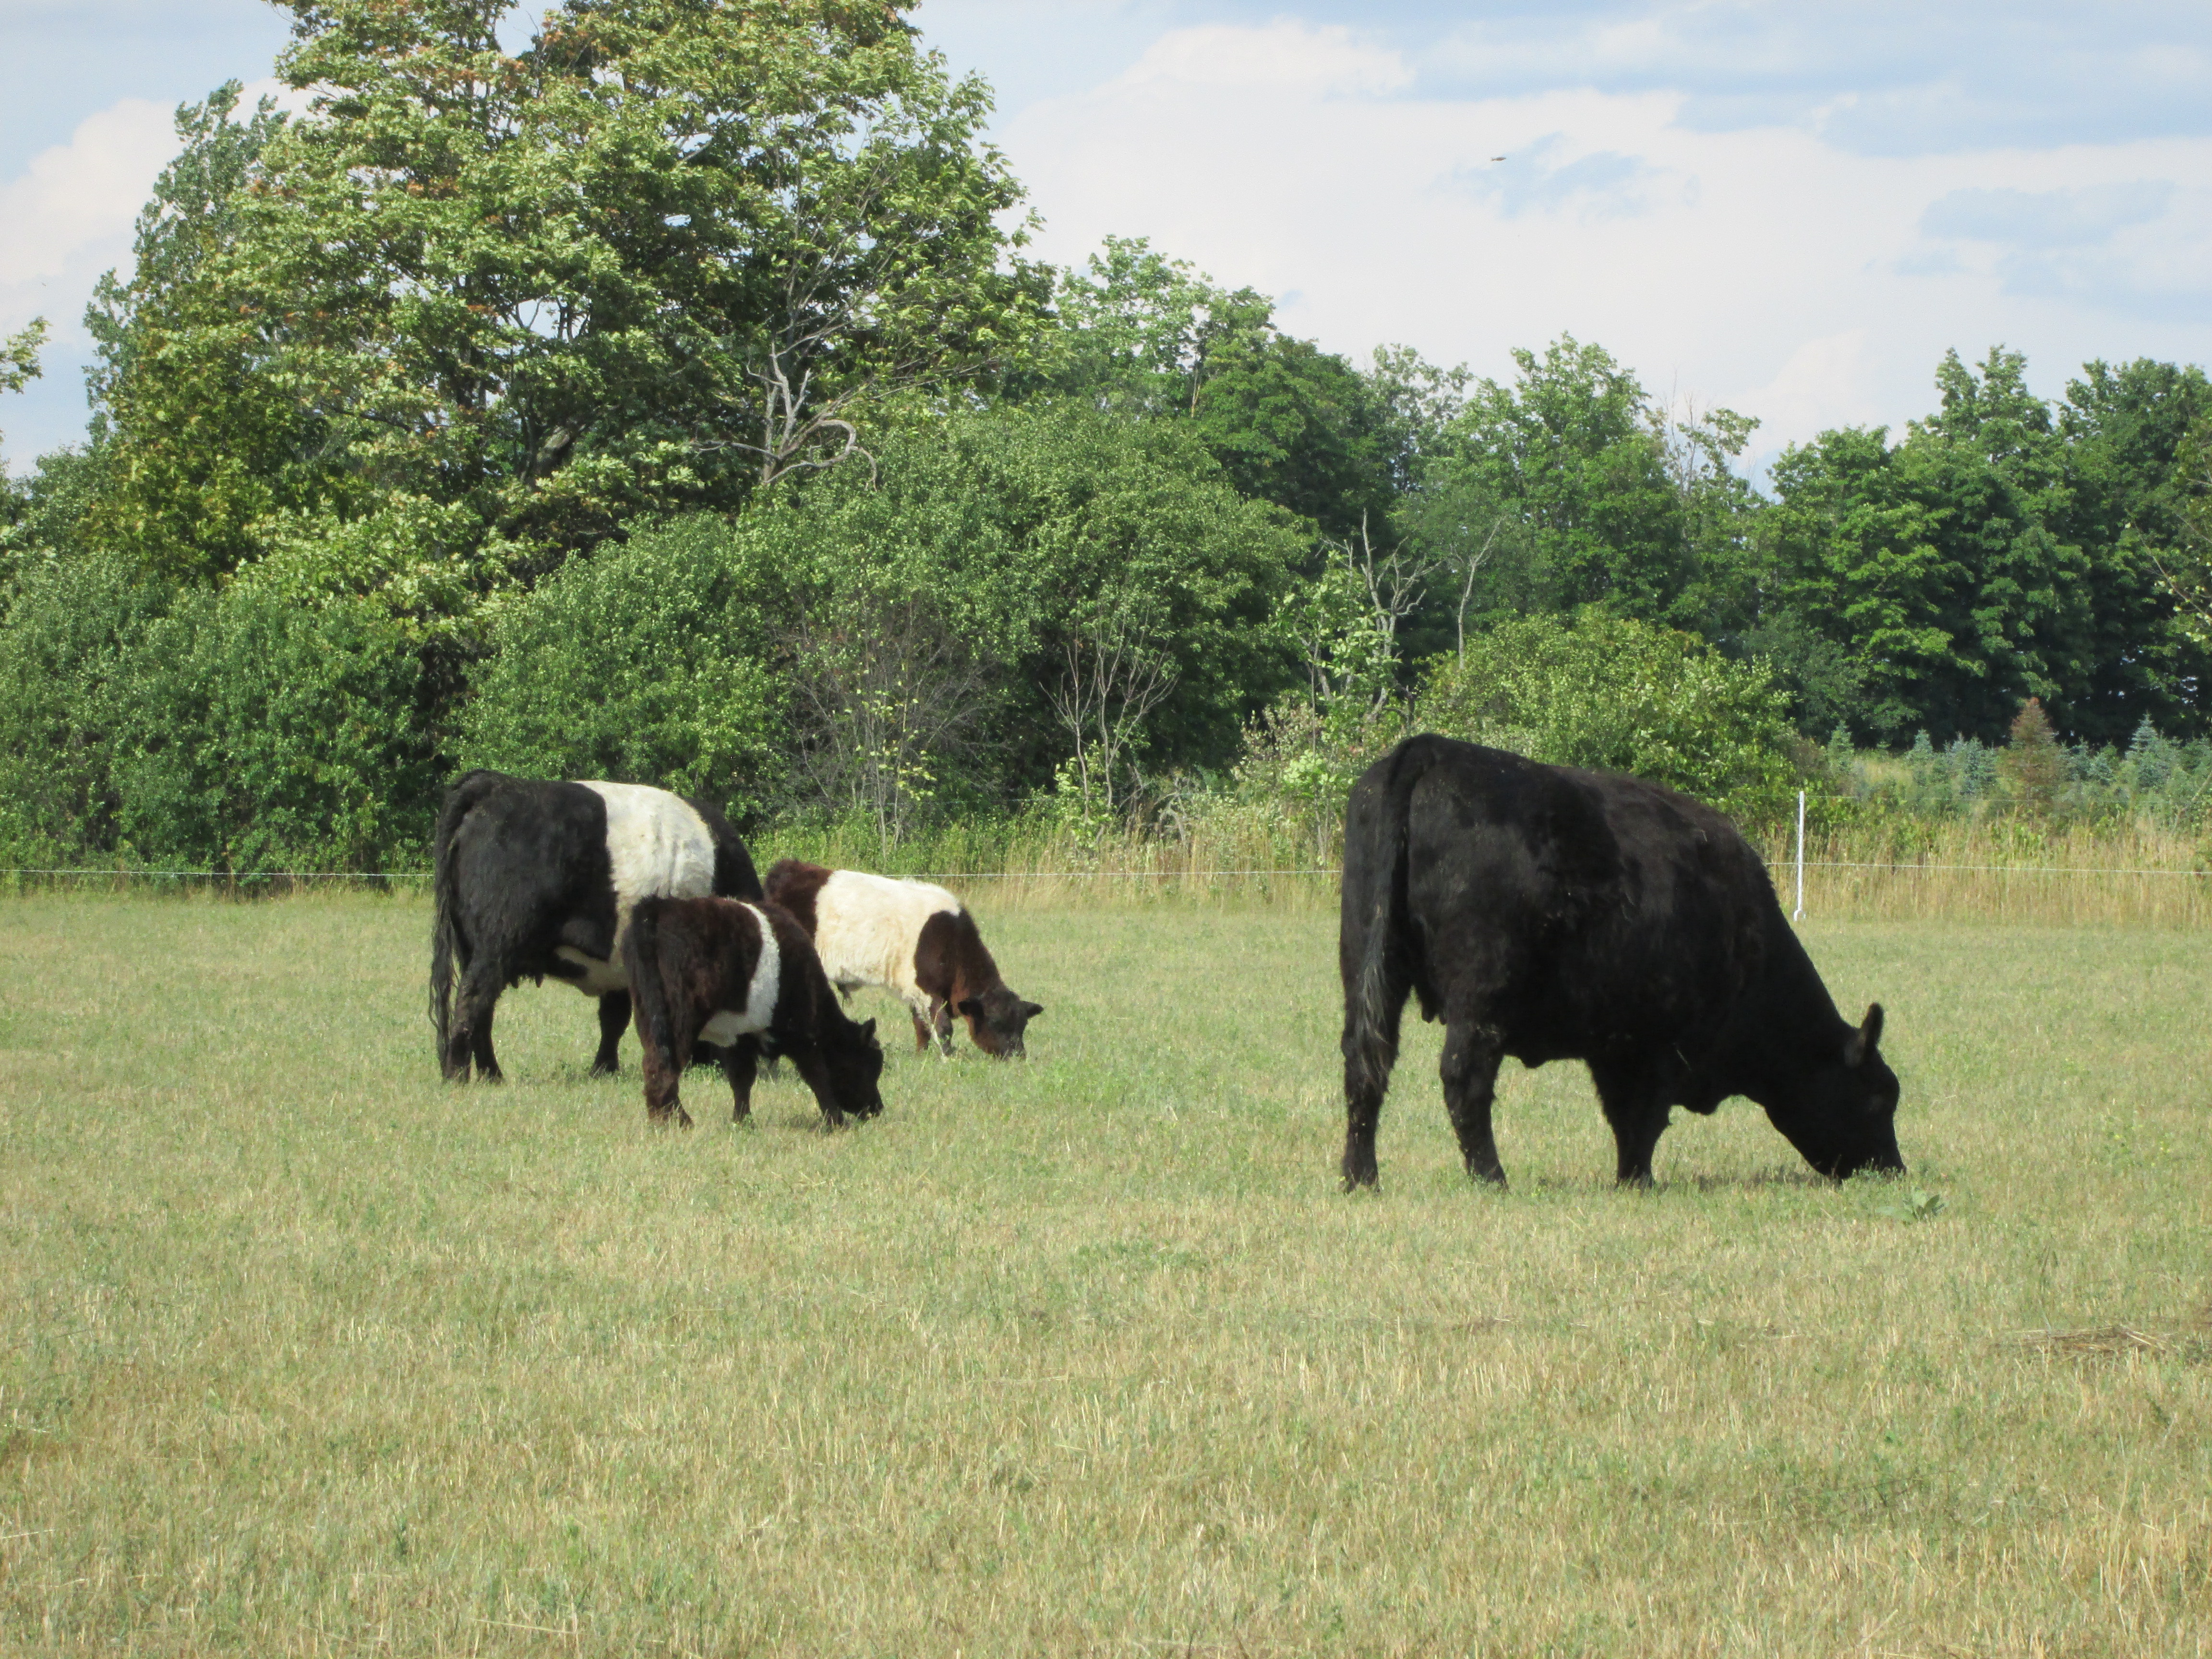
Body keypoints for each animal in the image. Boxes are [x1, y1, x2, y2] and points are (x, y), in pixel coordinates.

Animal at [429, 771, 763, 1082]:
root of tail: (495, 784)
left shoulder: (619, 969)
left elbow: (614, 1018)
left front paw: (605, 1069)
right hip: (499, 943)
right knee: (472, 1001)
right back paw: (458, 1076)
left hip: (473, 949)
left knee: (482, 1012)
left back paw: (492, 1076)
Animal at [621, 895, 886, 1129]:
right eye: (869, 1066)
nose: (877, 1109)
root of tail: (657, 907)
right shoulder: (801, 1034)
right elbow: (817, 1075)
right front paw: (837, 1121)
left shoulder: (738, 1036)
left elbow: (742, 1079)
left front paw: (743, 1121)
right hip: (680, 1017)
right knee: (664, 1066)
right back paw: (678, 1122)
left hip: (648, 1014)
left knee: (653, 1065)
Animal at [762, 860, 1042, 1057]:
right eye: (996, 1022)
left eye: (1022, 1025)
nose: (1018, 1055)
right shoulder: (929, 991)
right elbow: (943, 1028)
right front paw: (949, 1059)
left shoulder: (915, 990)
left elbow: (921, 1026)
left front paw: (922, 1056)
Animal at [1339, 735, 1904, 1191]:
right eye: (1882, 1097)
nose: (1894, 1170)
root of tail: (1432, 749)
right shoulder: (1655, 1045)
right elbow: (1641, 1118)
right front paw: (1639, 1181)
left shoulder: (1614, 1044)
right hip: (1480, 1000)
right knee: (1463, 1079)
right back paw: (1492, 1178)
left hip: (1369, 969)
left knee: (1365, 1063)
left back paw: (1360, 1178)